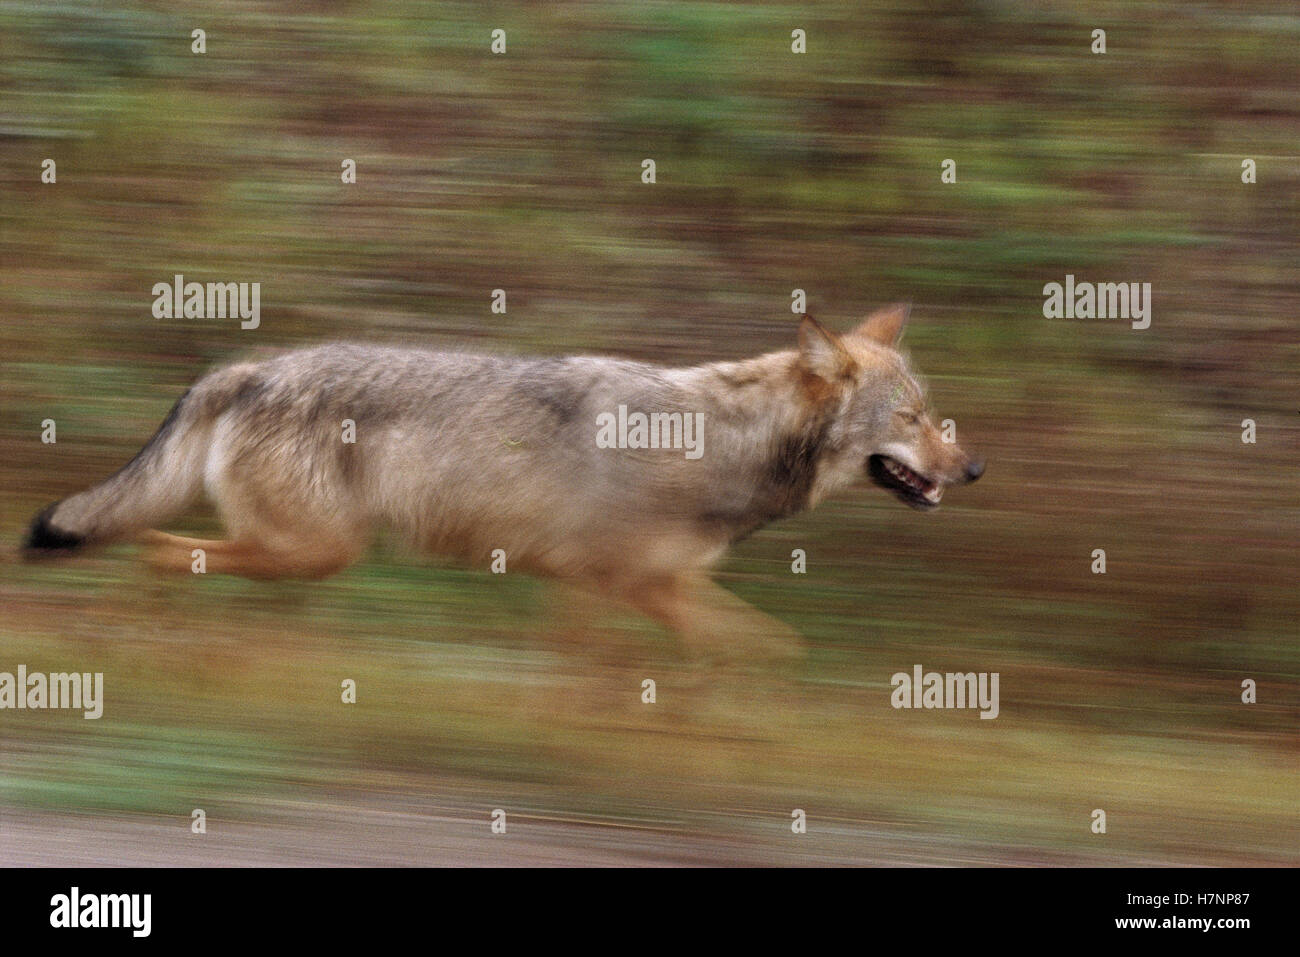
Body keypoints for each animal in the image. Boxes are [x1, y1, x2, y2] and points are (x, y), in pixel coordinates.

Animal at [23, 305, 981, 654]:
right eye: (911, 418)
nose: (974, 467)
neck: (722, 440)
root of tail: (253, 367)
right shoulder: (618, 581)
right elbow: (734, 654)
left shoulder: (610, 586)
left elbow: (761, 649)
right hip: (314, 551)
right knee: (156, 545)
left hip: (307, 557)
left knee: (166, 551)